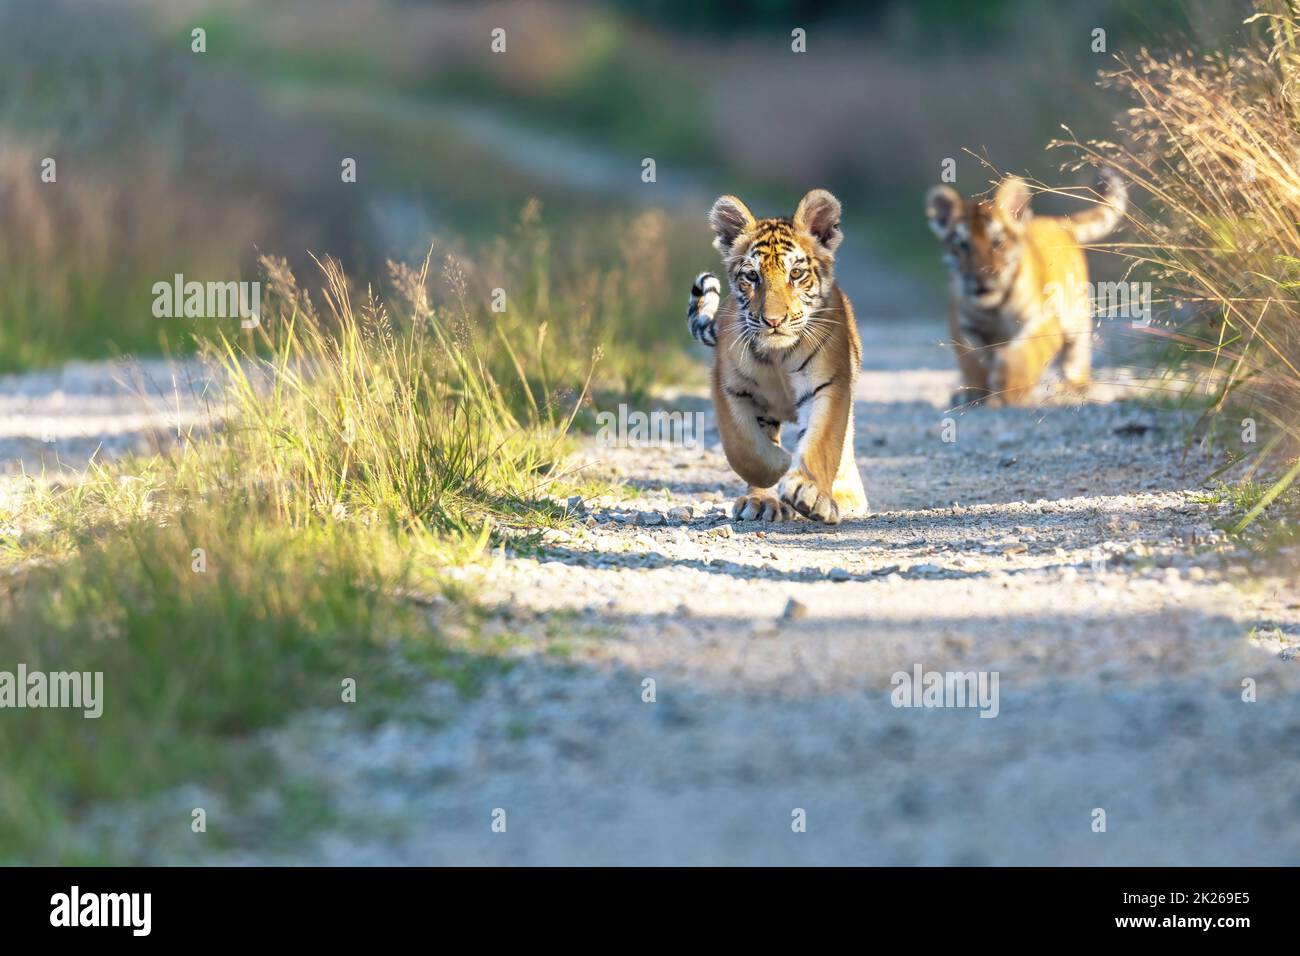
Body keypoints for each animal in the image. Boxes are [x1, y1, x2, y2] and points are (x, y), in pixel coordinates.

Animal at [686, 189, 867, 524]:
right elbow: (746, 450)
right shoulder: (728, 388)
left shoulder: (829, 385)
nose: (773, 321)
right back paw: (761, 502)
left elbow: (823, 442)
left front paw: (811, 494)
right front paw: (782, 465)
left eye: (795, 273)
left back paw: (845, 496)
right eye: (752, 276)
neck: (777, 355)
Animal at [924, 168, 1127, 406]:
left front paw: (1009, 389)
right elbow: (971, 359)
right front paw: (974, 393)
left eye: (997, 243)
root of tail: (1055, 221)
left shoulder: (1044, 320)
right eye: (963, 246)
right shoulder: (965, 325)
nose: (981, 278)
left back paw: (1074, 386)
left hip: (1075, 316)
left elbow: (1025, 353)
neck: (993, 306)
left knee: (1077, 353)